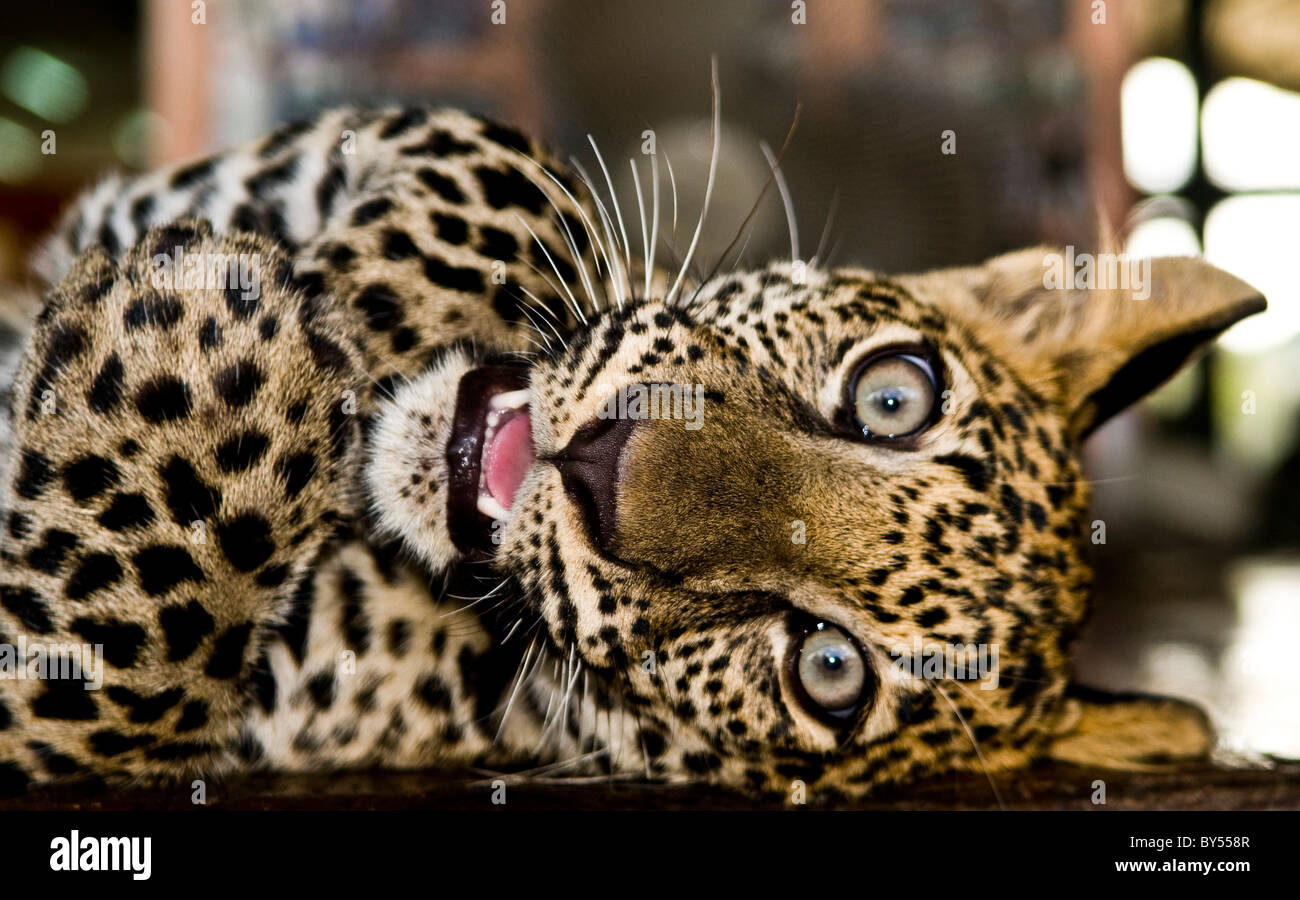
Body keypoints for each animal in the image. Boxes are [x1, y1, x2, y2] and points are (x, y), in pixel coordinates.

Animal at [0, 105, 1265, 804]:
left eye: (828, 670)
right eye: (892, 395)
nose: (603, 467)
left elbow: (140, 656)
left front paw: (203, 338)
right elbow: (516, 160)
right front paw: (354, 288)